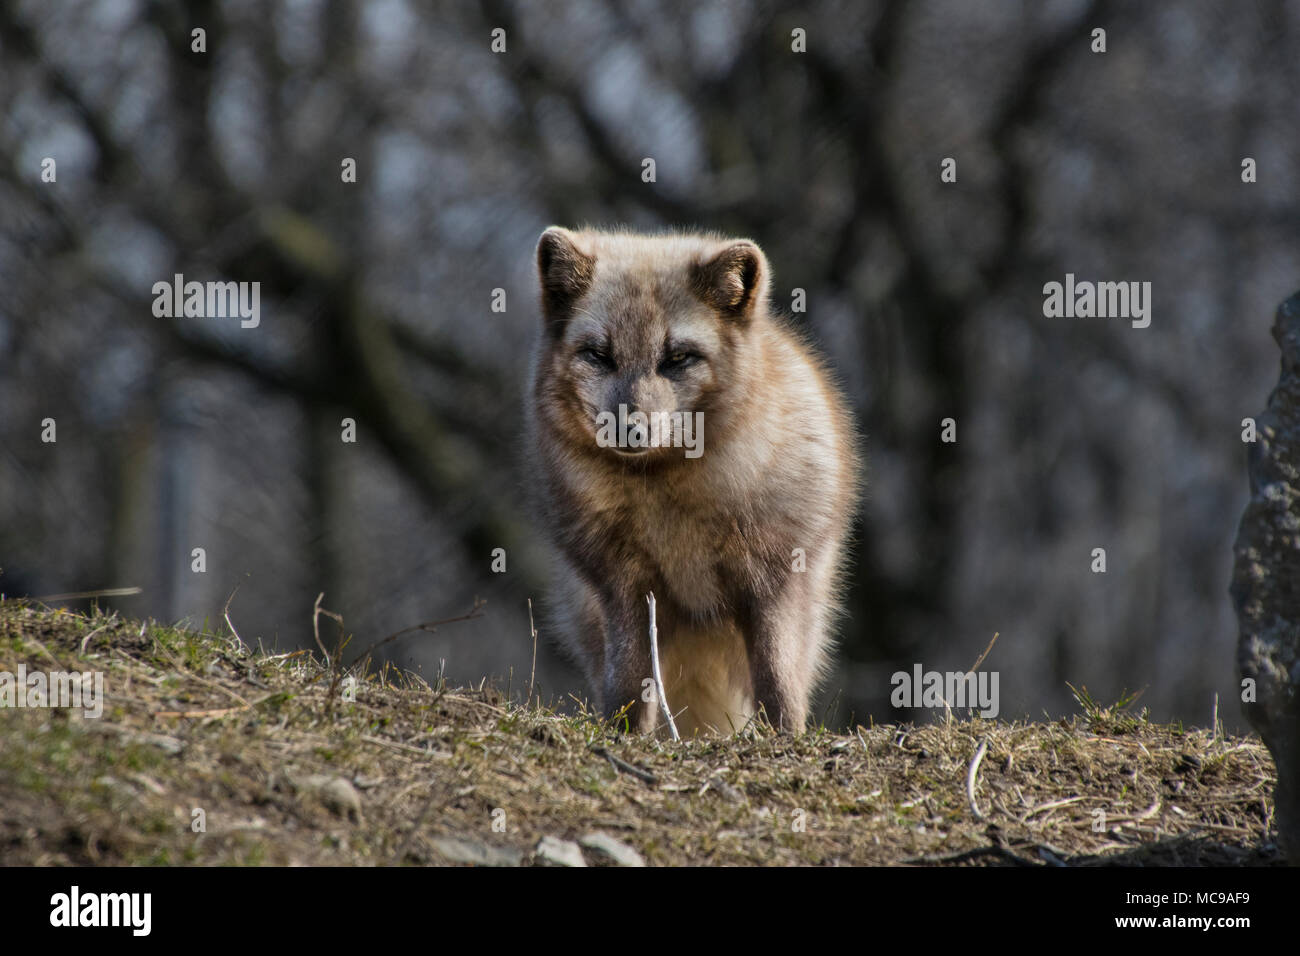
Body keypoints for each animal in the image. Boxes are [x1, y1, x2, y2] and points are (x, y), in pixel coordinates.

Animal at [526, 226, 860, 735]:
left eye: (677, 358)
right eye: (598, 356)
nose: (629, 428)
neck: (667, 492)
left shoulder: (774, 582)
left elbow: (777, 681)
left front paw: (782, 737)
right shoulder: (622, 589)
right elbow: (629, 683)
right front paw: (625, 735)